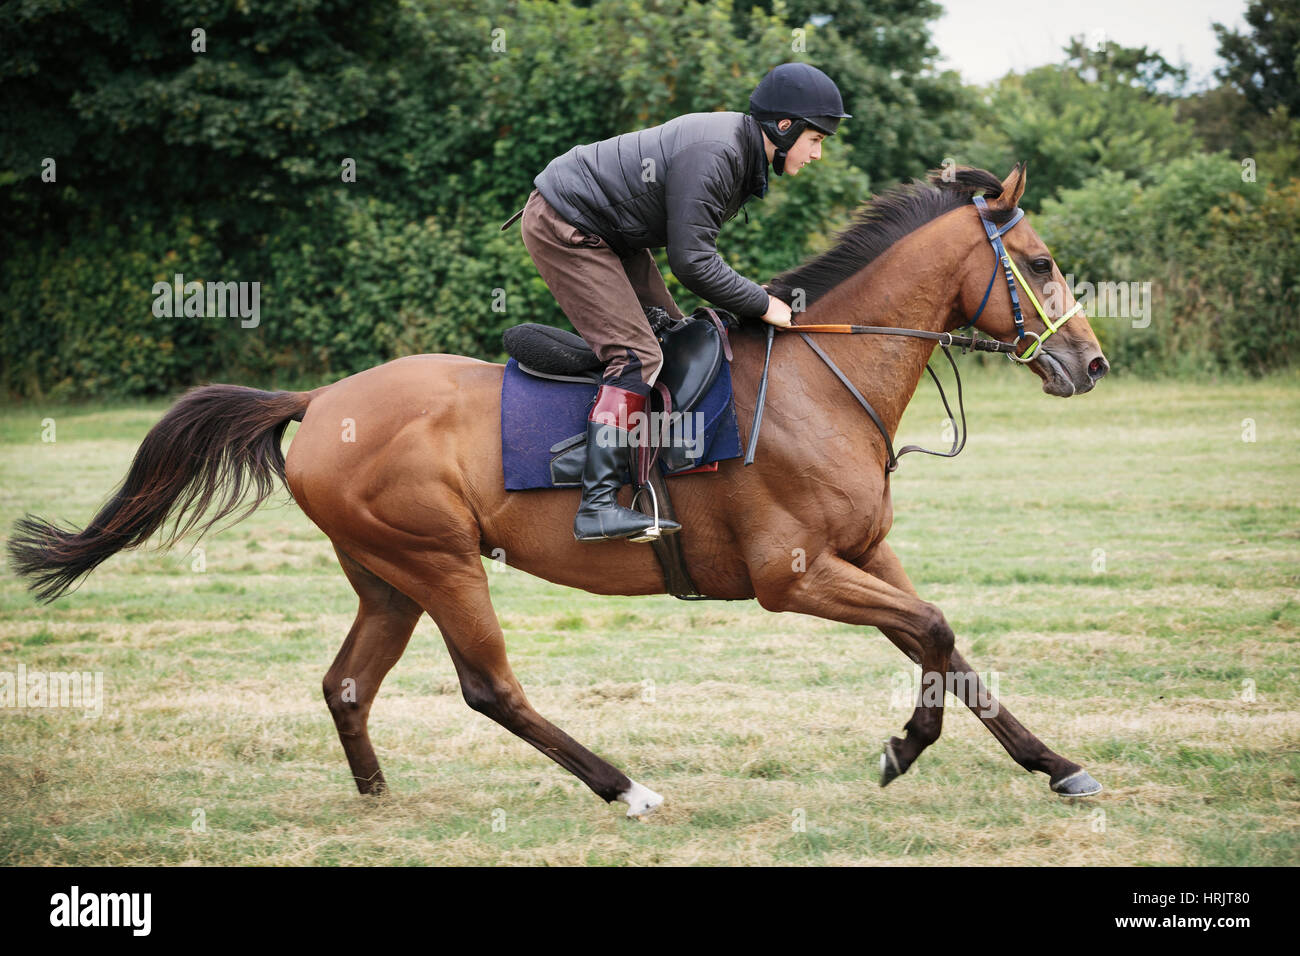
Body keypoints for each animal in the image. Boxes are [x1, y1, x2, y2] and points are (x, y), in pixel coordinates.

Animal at [9, 163, 1109, 818]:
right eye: (1042, 261)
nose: (1090, 364)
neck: (819, 379)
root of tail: (320, 401)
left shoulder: (865, 553)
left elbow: (945, 644)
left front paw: (1055, 764)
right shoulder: (791, 575)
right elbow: (931, 634)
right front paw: (904, 746)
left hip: (386, 576)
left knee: (347, 683)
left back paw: (376, 796)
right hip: (440, 560)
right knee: (489, 687)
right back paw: (623, 786)